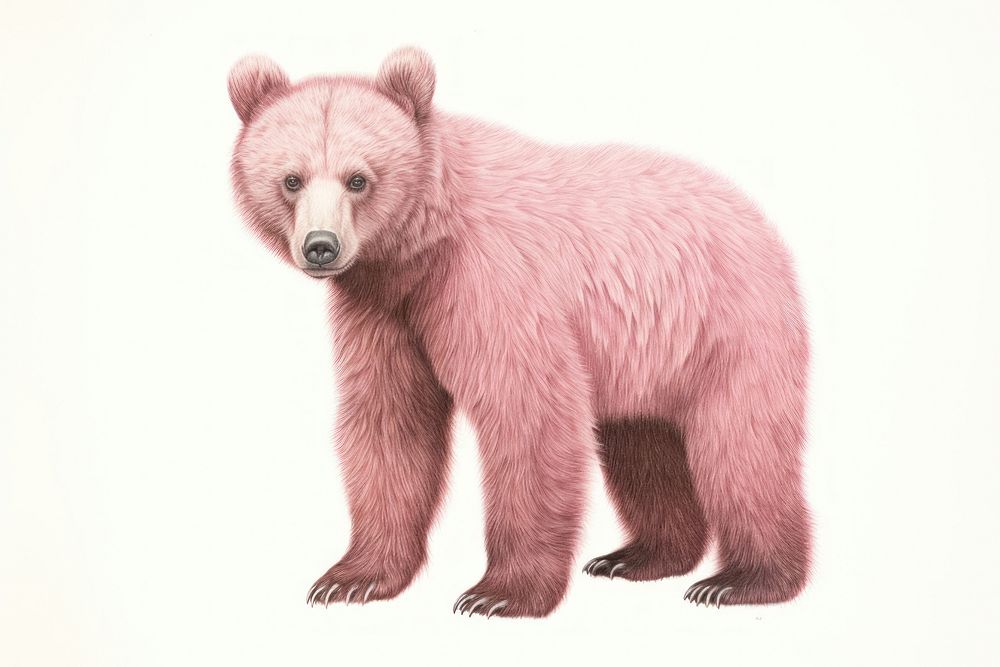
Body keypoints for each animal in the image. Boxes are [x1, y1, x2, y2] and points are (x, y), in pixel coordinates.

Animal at [228, 47, 812, 618]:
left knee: (739, 445)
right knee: (642, 444)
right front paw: (352, 578)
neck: (420, 248)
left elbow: (527, 413)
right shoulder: (384, 312)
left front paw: (499, 592)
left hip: (726, 322)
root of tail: (756, 216)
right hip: (645, 353)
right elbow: (390, 419)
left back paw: (743, 580)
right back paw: (639, 556)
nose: (321, 246)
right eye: (292, 179)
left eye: (358, 178)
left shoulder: (494, 283)